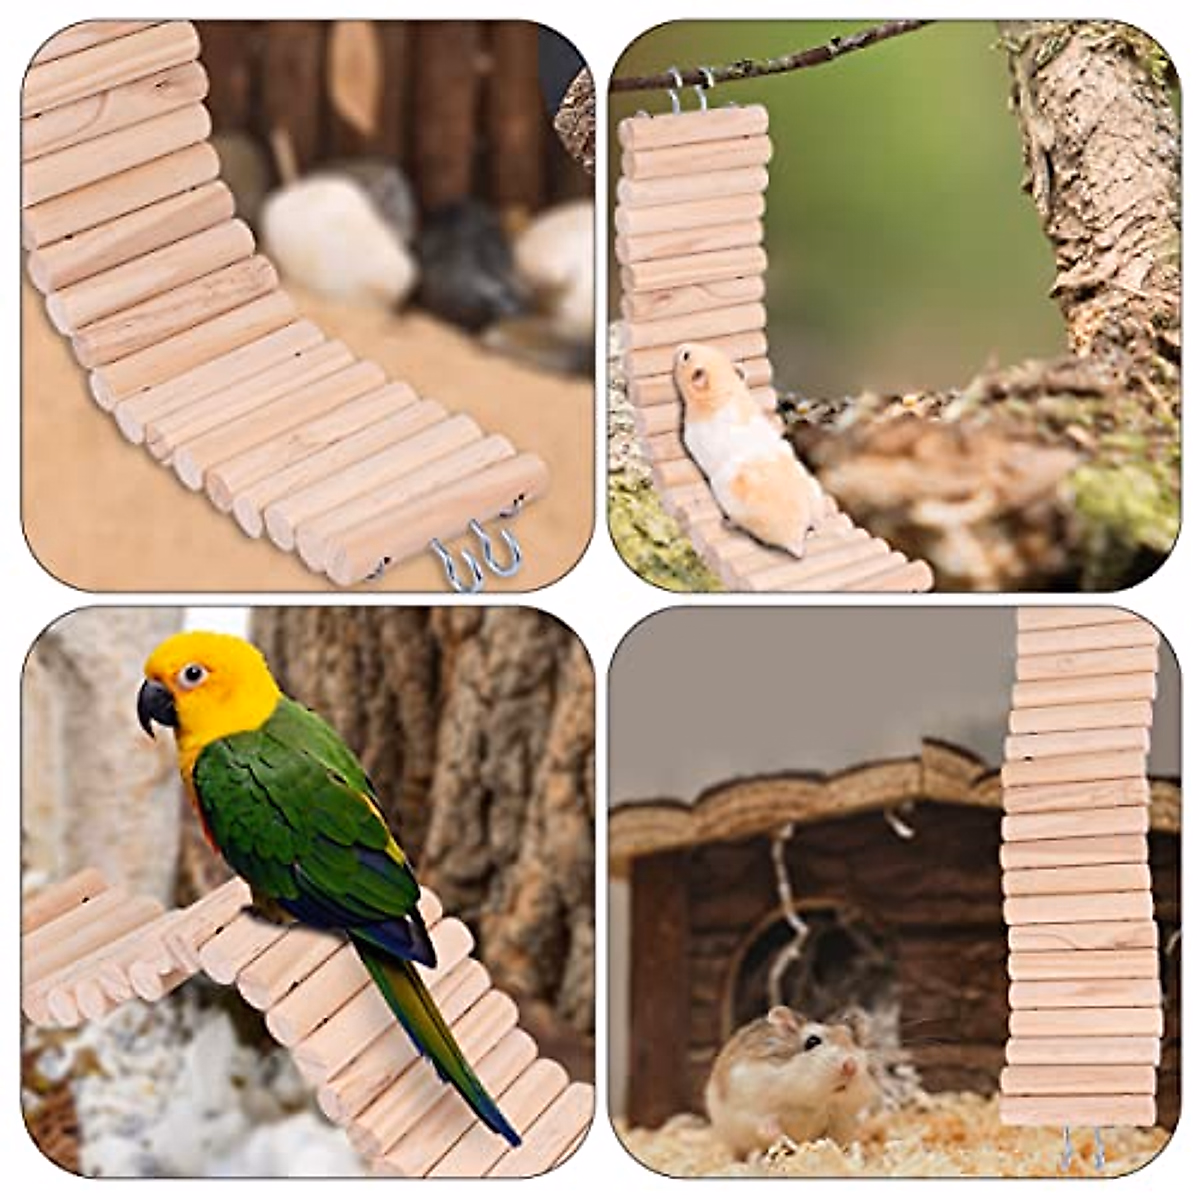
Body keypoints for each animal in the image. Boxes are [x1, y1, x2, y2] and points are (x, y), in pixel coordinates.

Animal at [705, 1005, 876, 1159]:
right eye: (812, 1041)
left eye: (852, 1041)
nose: (851, 1066)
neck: (812, 1101)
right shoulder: (749, 1105)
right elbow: (763, 1123)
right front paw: (779, 1135)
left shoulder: (841, 1119)